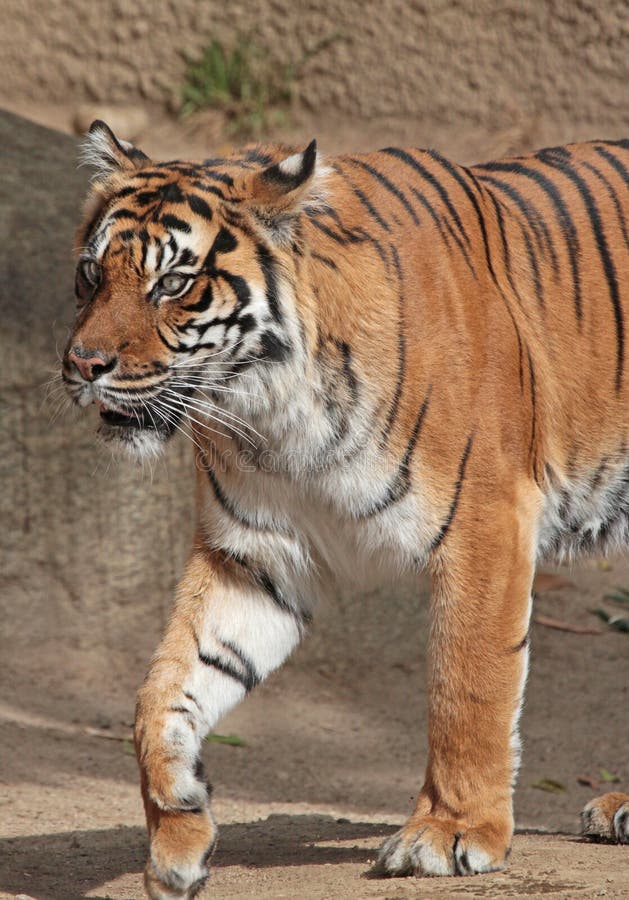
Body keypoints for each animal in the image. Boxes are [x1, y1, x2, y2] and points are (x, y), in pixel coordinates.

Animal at [62, 119, 629, 899]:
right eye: (93, 273)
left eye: (173, 282)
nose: (83, 365)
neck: (272, 409)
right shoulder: (256, 555)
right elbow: (166, 689)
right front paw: (178, 832)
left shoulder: (487, 525)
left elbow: (468, 687)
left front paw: (450, 833)